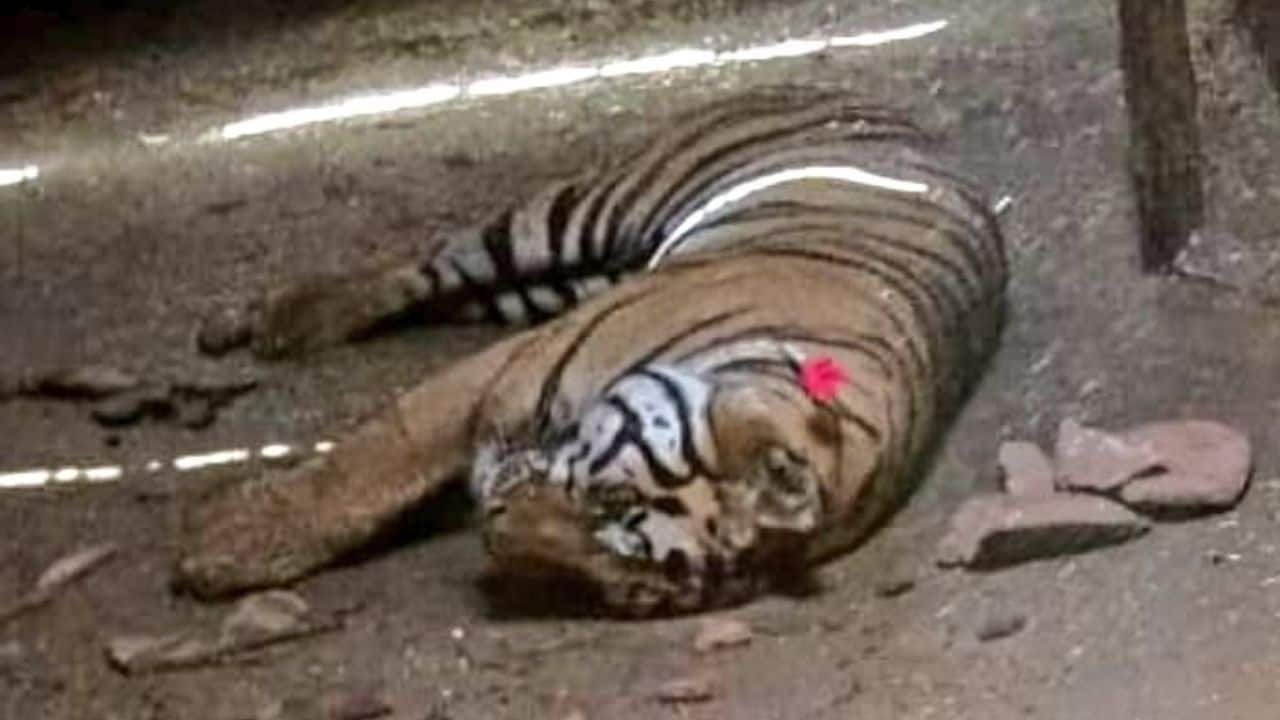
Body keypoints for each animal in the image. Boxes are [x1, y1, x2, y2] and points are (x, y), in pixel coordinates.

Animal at [175, 86, 1007, 616]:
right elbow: (372, 461)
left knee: (455, 288)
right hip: (581, 214)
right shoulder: (498, 371)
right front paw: (225, 546)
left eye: (621, 582)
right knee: (434, 262)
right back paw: (287, 320)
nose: (495, 529)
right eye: (613, 502)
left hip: (562, 277)